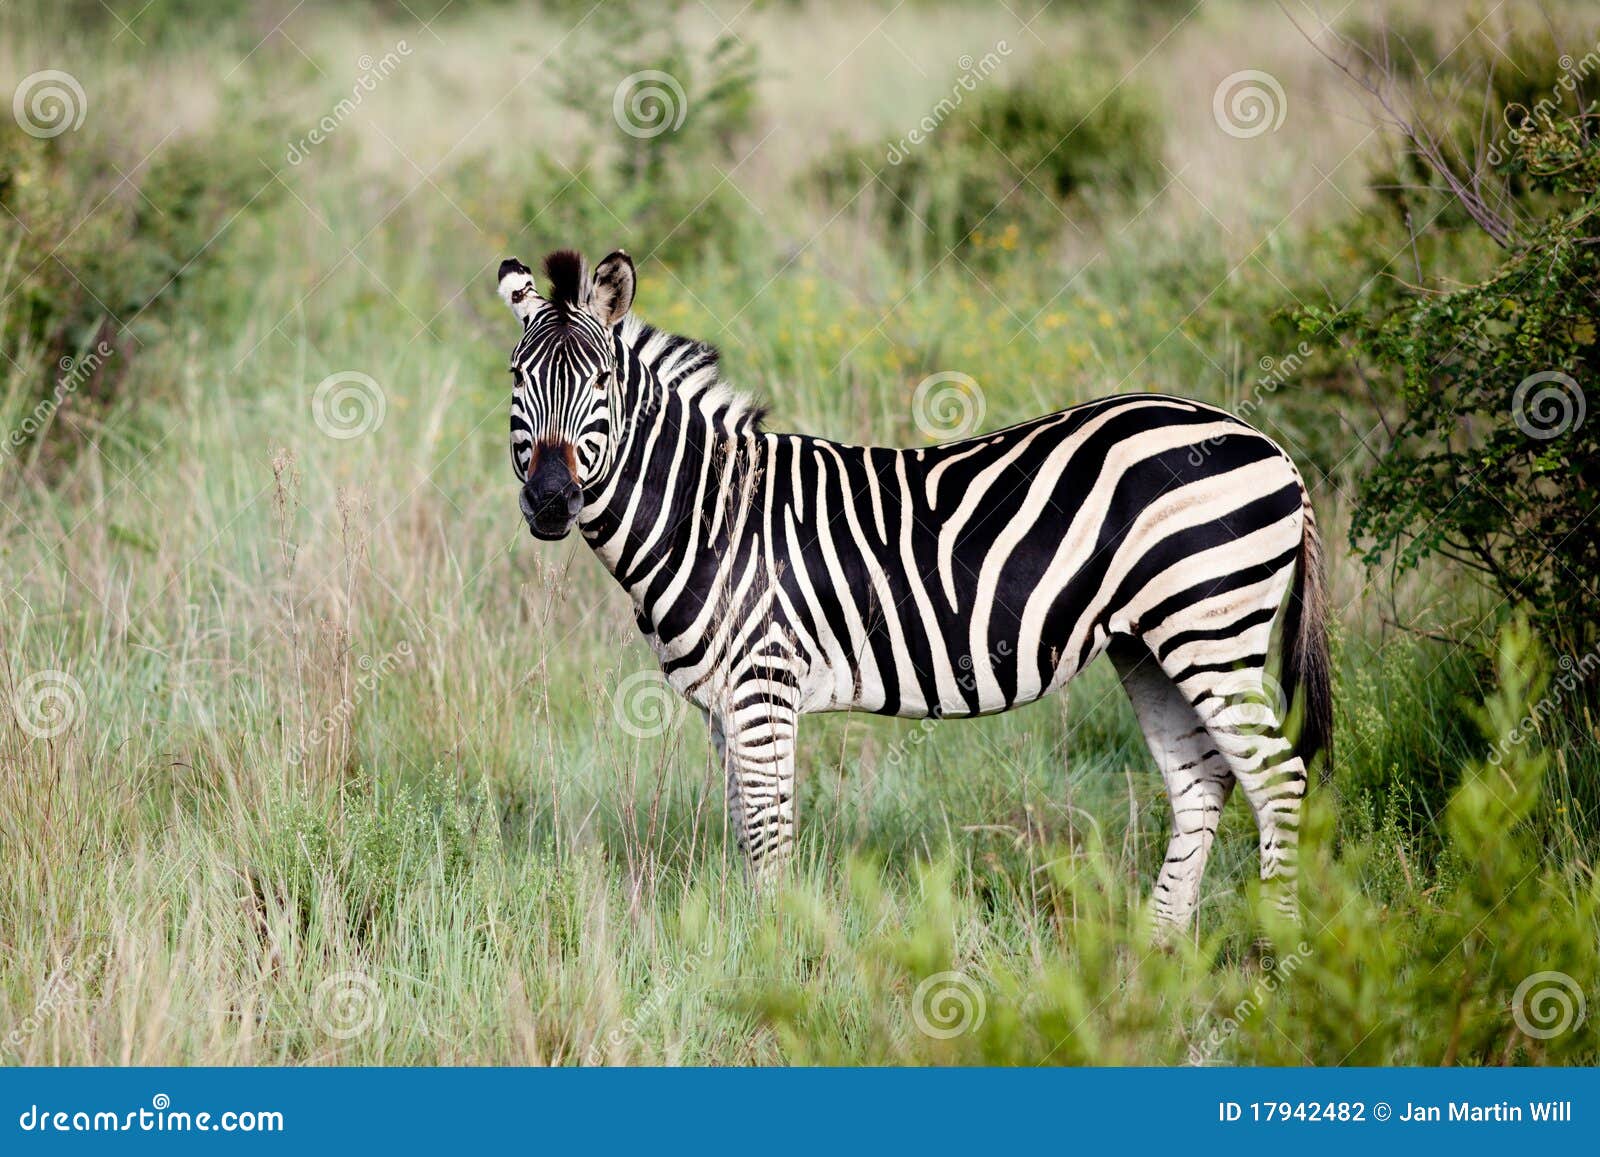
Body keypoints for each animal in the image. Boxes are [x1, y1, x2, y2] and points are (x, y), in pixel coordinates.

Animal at [497, 247, 1332, 930]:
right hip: (1150, 643)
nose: (550, 502)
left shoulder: (765, 682)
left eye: (601, 381)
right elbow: (745, 828)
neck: (709, 511)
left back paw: (1280, 956)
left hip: (1209, 626)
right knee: (1202, 780)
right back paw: (1158, 954)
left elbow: (768, 836)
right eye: (516, 378)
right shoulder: (727, 704)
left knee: (1278, 779)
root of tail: (1273, 447)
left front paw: (773, 962)